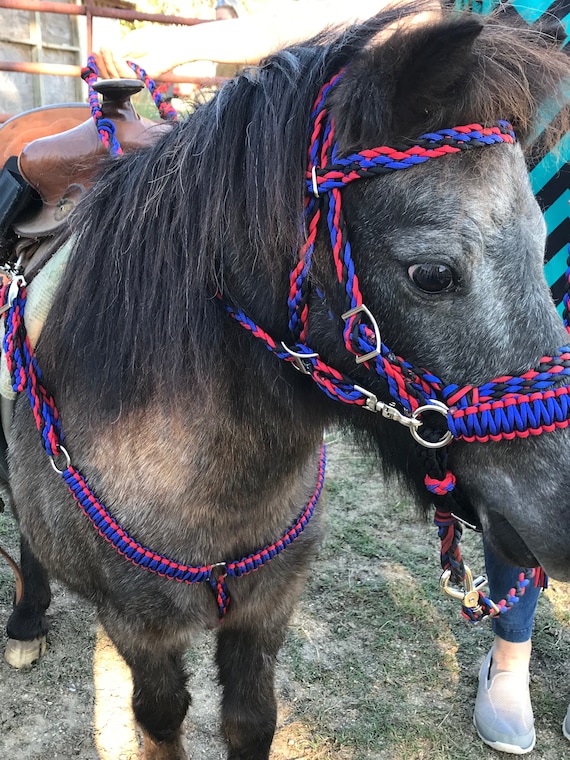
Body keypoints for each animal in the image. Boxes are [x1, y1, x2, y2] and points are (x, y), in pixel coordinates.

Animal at [3, 6, 570, 758]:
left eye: (542, 248)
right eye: (432, 274)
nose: (564, 515)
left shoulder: (267, 612)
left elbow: (252, 721)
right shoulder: (141, 630)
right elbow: (160, 719)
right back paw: (26, 618)